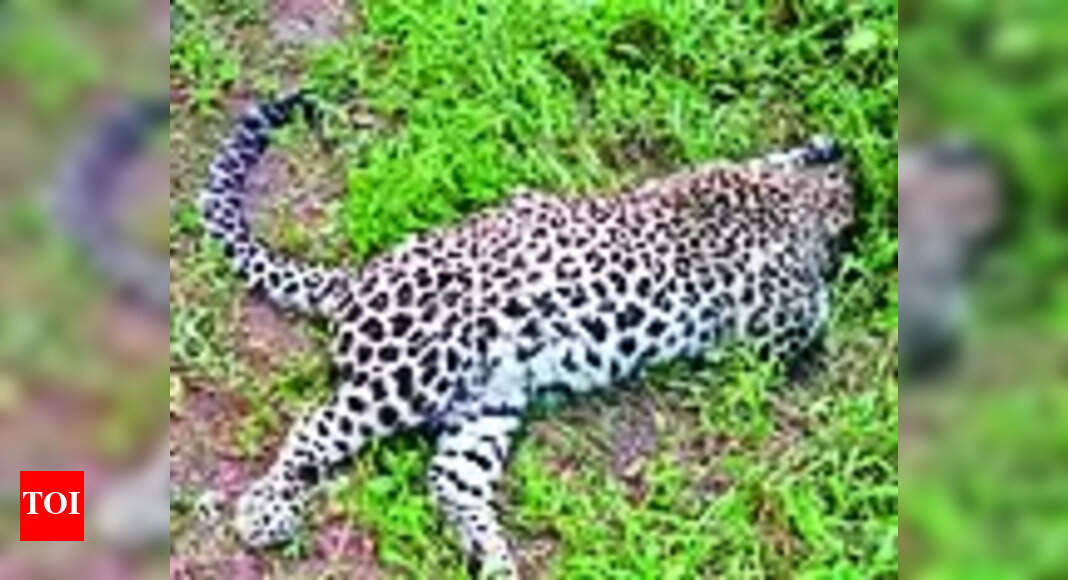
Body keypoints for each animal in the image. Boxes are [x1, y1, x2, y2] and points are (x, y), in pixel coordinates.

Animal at [197, 91, 853, 578]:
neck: (795, 196)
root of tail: (350, 280)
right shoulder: (773, 324)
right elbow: (799, 327)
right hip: (412, 370)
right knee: (316, 425)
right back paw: (263, 511)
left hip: (487, 406)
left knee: (448, 483)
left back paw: (495, 560)